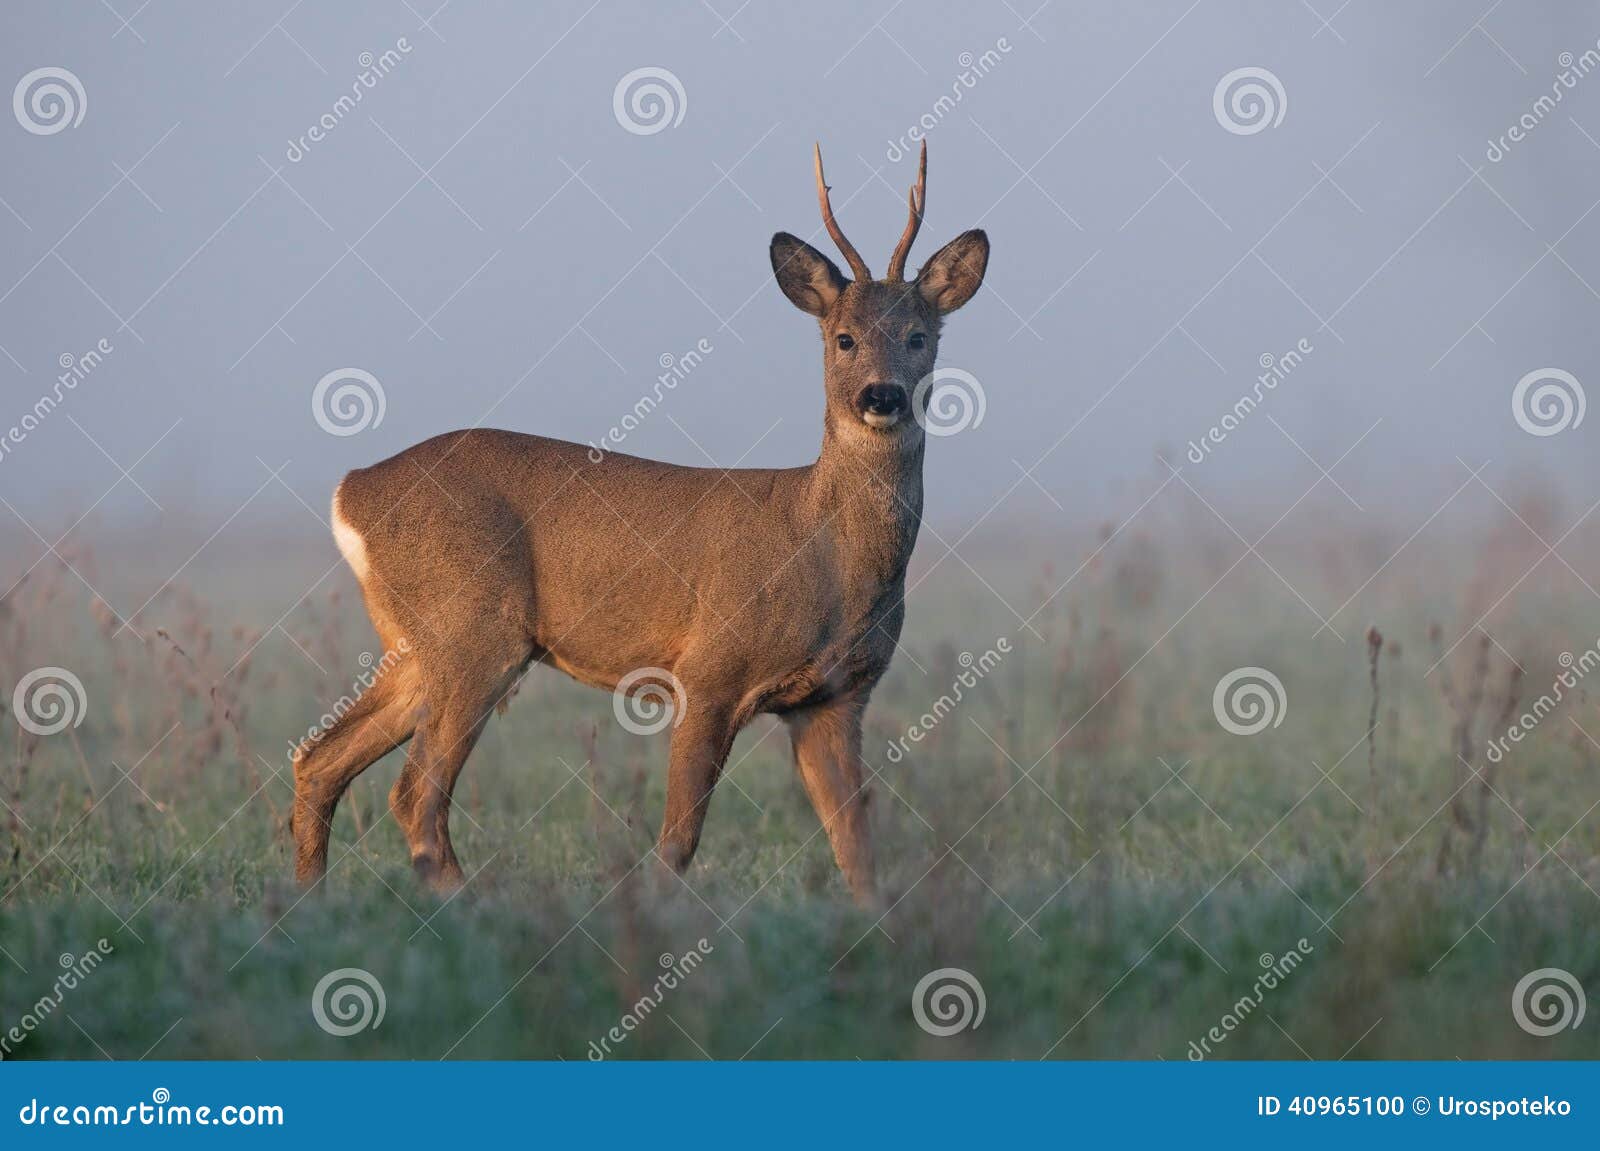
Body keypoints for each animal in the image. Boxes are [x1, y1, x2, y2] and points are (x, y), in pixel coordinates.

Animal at [289, 141, 988, 905]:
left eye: (919, 335)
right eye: (843, 338)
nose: (881, 396)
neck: (826, 549)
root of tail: (351, 491)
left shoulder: (834, 698)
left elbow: (859, 854)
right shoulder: (709, 668)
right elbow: (678, 841)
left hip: (419, 645)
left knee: (318, 759)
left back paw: (306, 903)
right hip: (474, 626)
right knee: (413, 793)